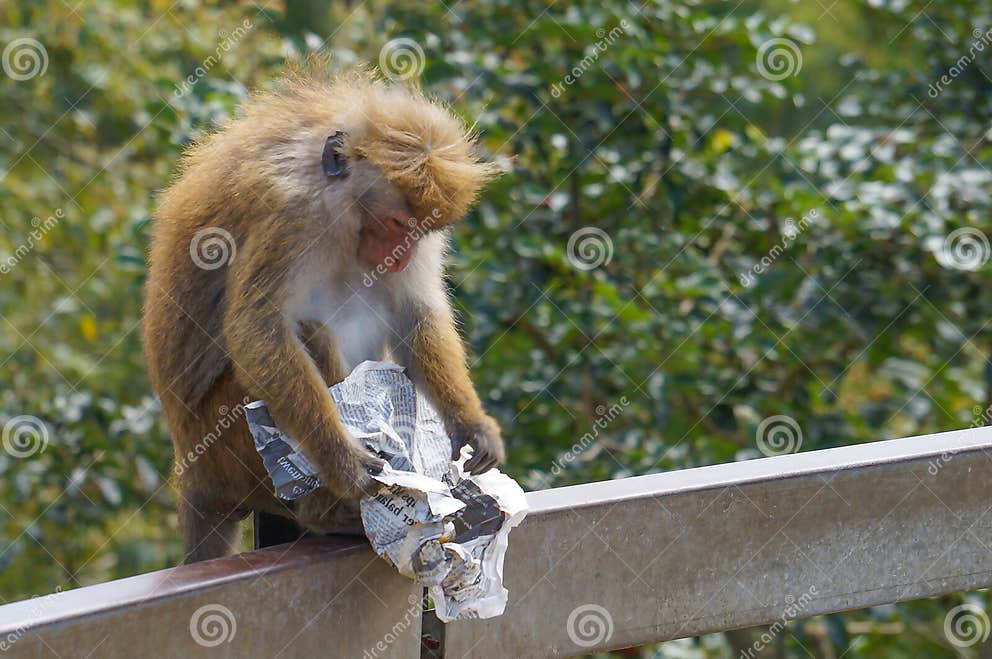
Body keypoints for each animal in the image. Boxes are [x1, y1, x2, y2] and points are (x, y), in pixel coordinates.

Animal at [142, 66, 504, 563]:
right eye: (397, 224)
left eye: (422, 230)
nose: (400, 257)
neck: (338, 205)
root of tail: (192, 472)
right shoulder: (289, 212)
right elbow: (257, 330)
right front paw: (344, 461)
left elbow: (415, 312)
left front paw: (472, 423)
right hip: (223, 445)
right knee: (307, 333)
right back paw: (331, 512)